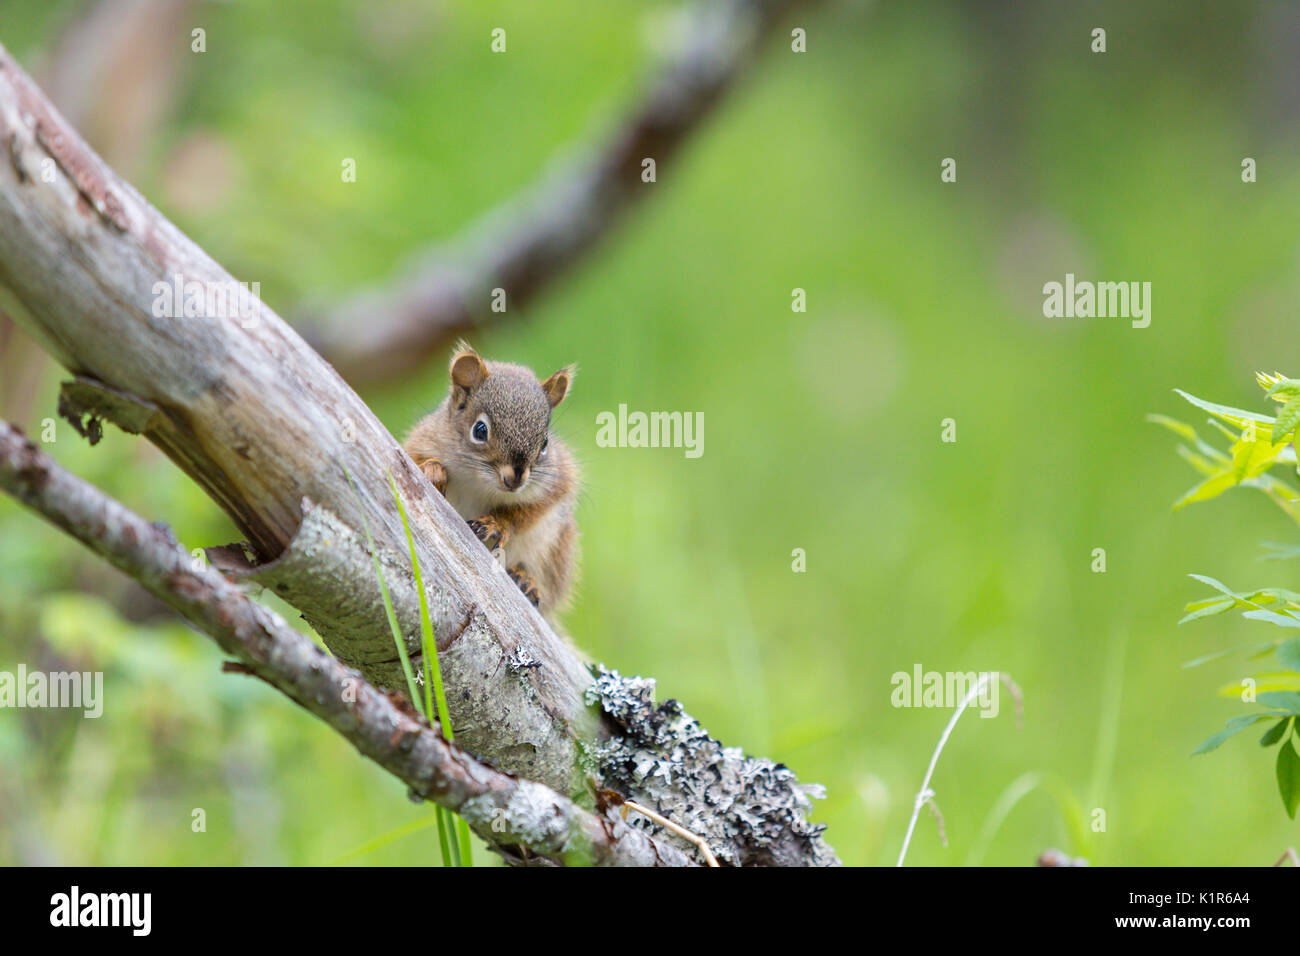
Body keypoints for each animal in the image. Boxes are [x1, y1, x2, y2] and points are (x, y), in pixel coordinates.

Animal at [403, 343, 579, 617]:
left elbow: (528, 512)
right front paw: (433, 472)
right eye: (480, 430)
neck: (479, 481)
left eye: (545, 443)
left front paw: (497, 523)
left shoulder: (558, 482)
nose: (515, 479)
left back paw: (526, 581)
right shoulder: (421, 442)